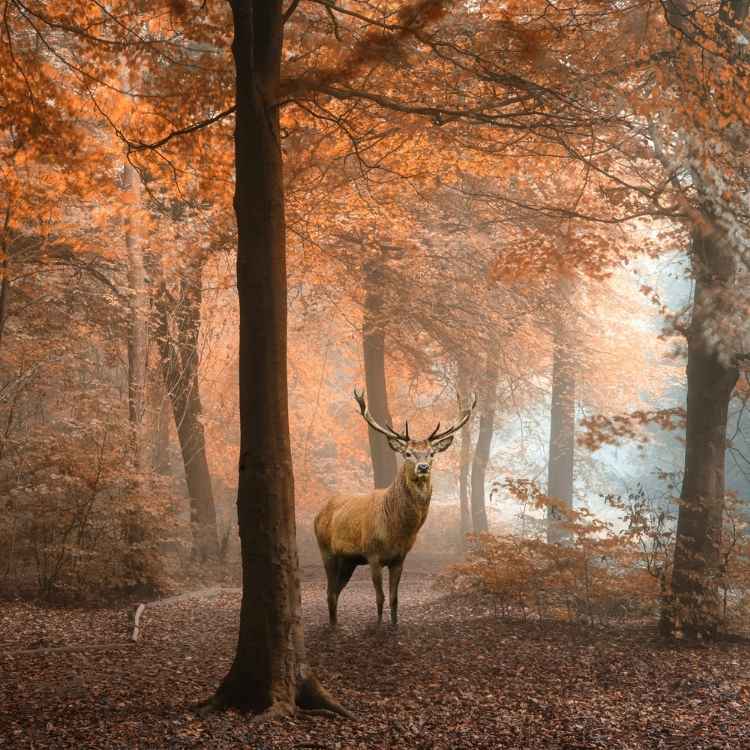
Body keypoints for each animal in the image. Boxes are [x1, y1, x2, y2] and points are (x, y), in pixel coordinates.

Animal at [314, 389, 476, 626]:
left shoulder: (400, 558)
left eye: (431, 453)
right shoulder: (372, 554)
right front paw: (379, 626)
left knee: (335, 591)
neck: (396, 530)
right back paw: (333, 626)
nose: (423, 467)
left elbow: (394, 599)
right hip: (326, 550)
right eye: (407, 453)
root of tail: (318, 513)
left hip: (348, 561)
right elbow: (380, 598)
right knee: (329, 592)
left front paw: (394, 625)